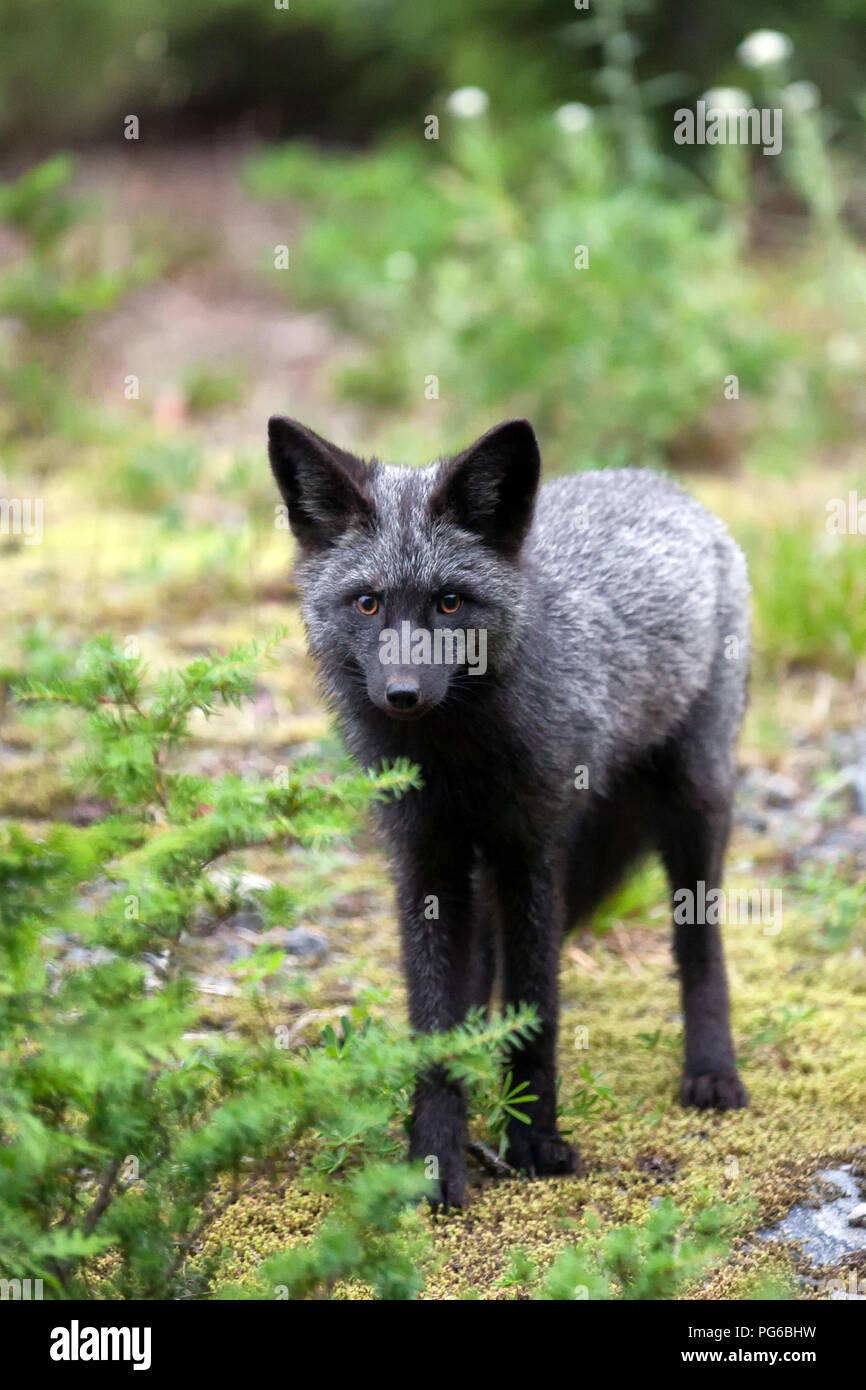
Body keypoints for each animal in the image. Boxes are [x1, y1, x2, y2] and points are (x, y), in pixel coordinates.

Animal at [268, 414, 750, 1210]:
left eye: (450, 603)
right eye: (368, 603)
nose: (402, 693)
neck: (456, 758)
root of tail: (662, 485)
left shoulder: (532, 848)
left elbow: (538, 1015)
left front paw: (532, 1142)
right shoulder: (425, 859)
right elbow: (435, 1022)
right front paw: (434, 1163)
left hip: (694, 802)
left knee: (699, 947)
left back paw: (712, 1070)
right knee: (483, 975)